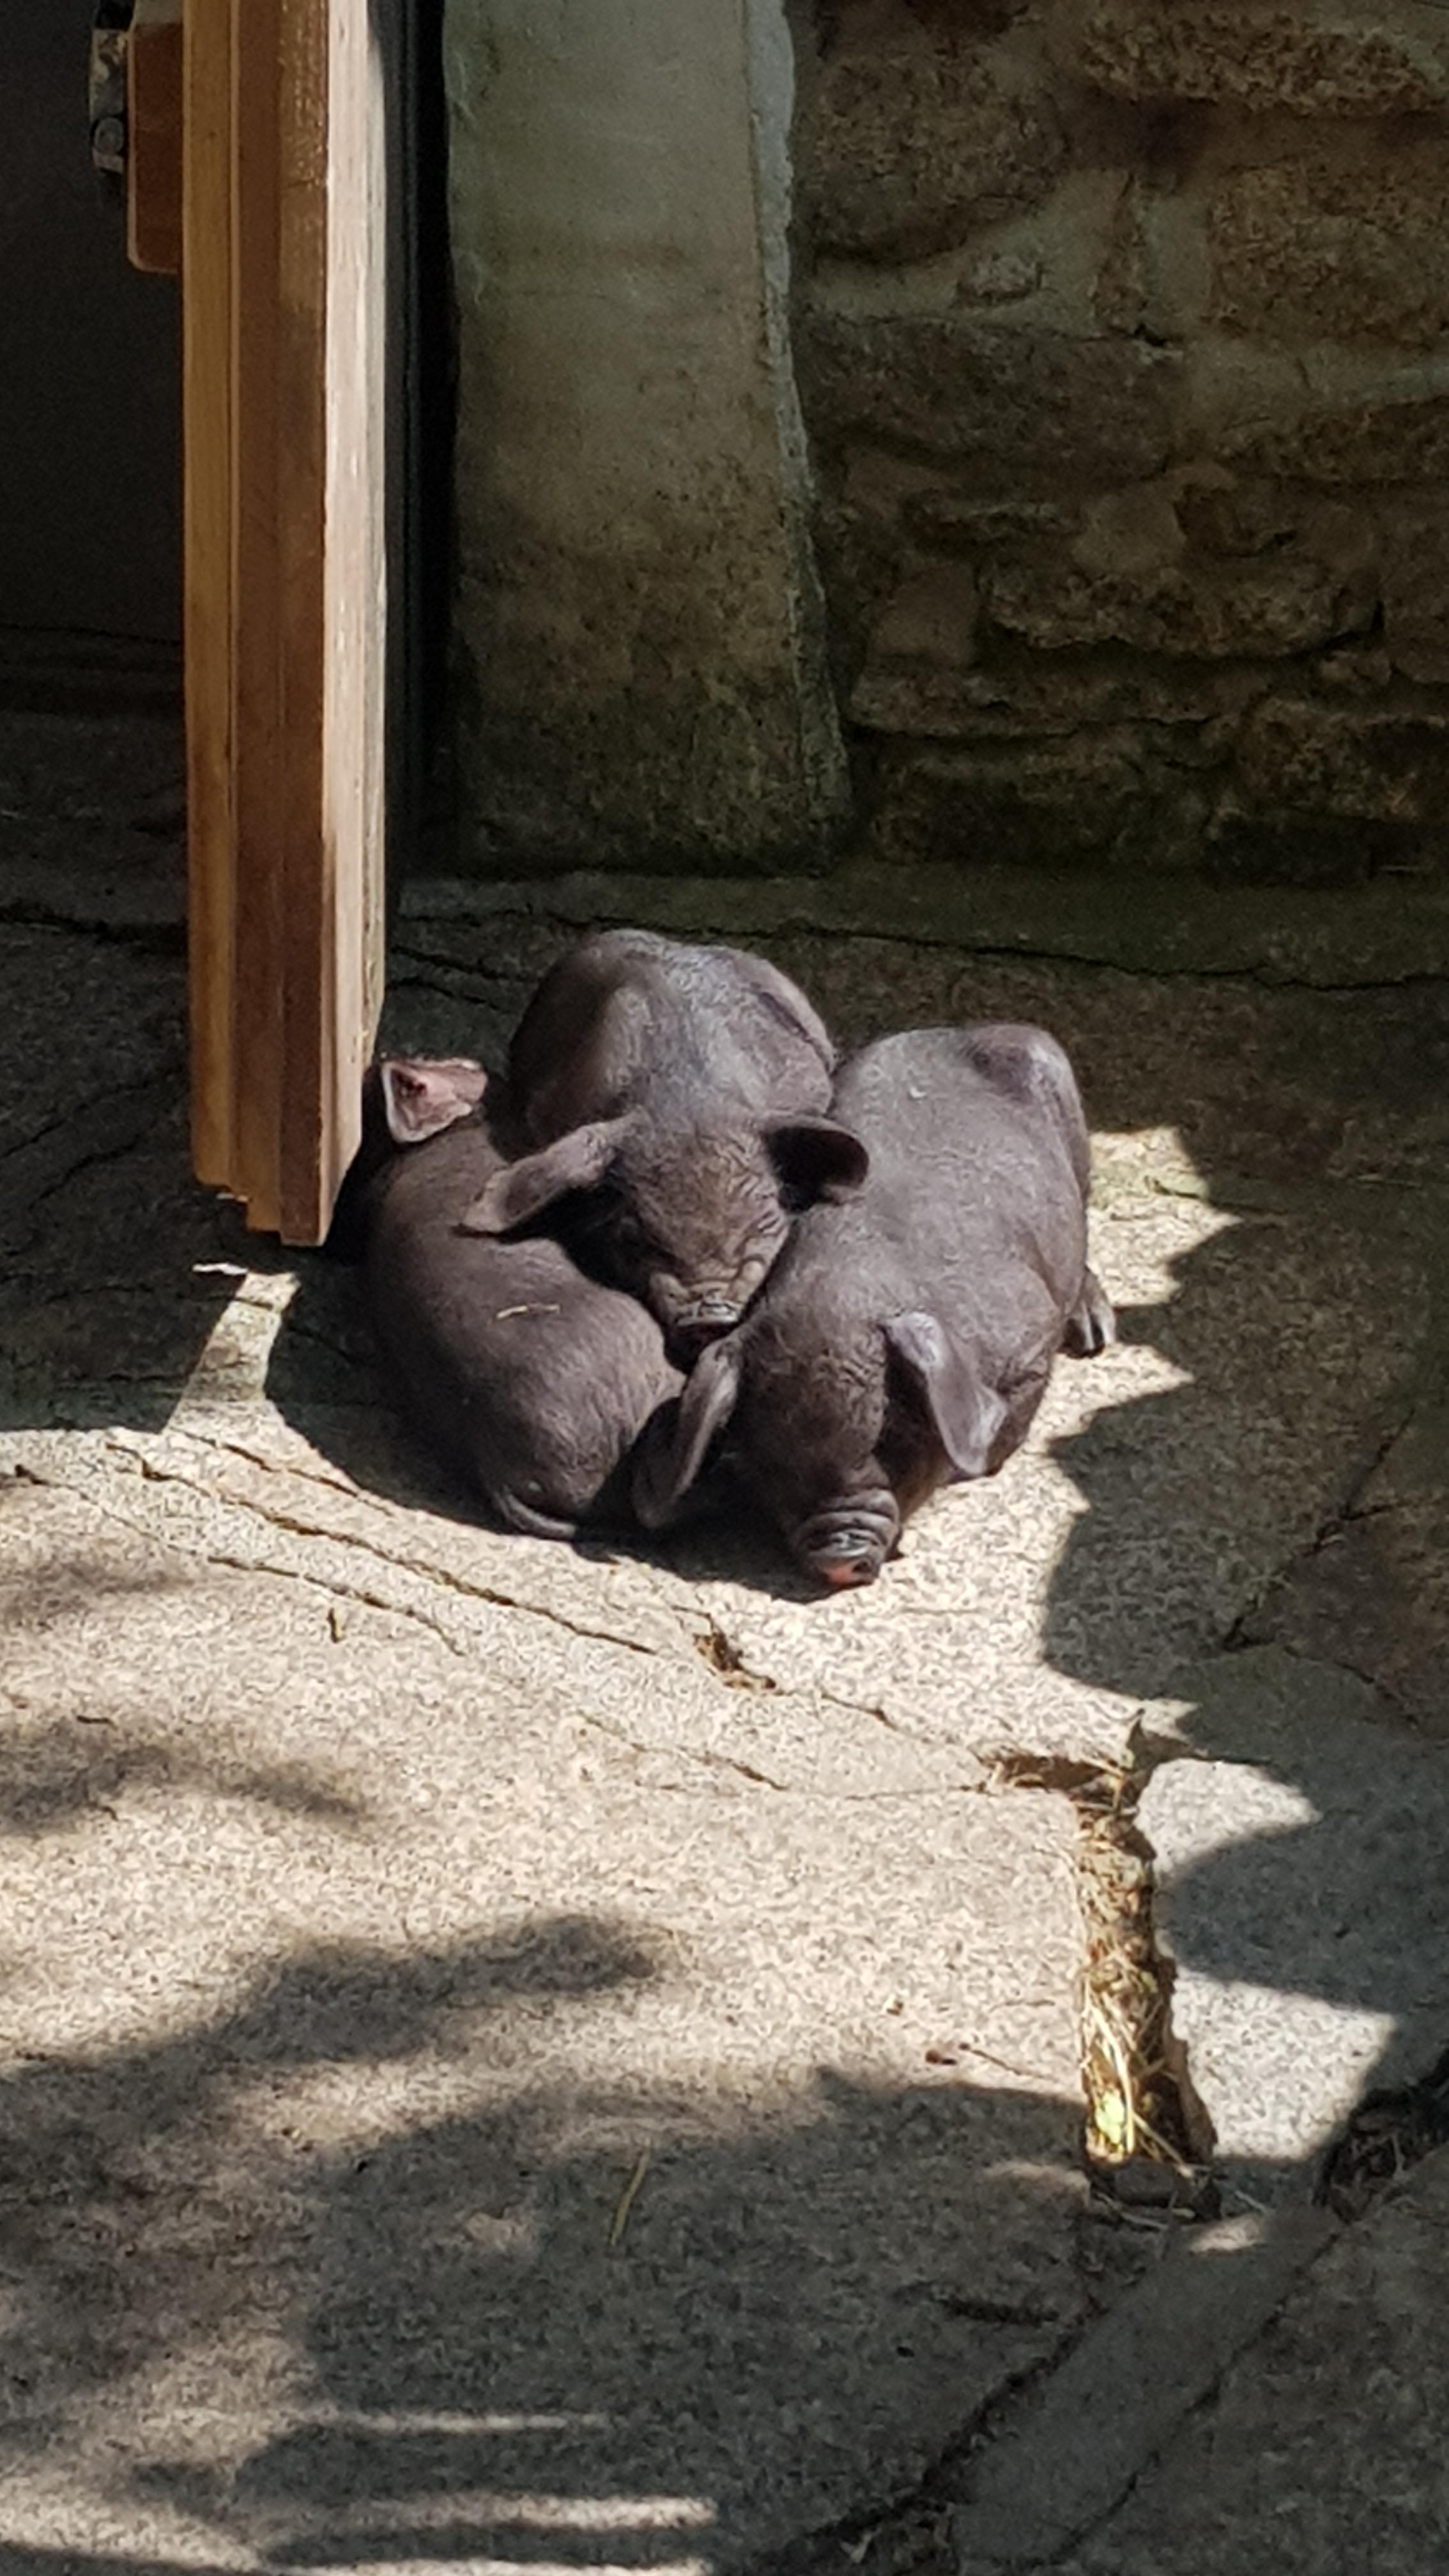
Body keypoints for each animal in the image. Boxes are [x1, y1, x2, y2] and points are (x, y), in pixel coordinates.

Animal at [633, 1023, 1115, 1588]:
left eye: (891, 1438)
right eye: (768, 1460)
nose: (837, 1558)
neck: (845, 1290)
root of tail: (957, 1028)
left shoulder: (1029, 1338)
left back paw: (1095, 1331)